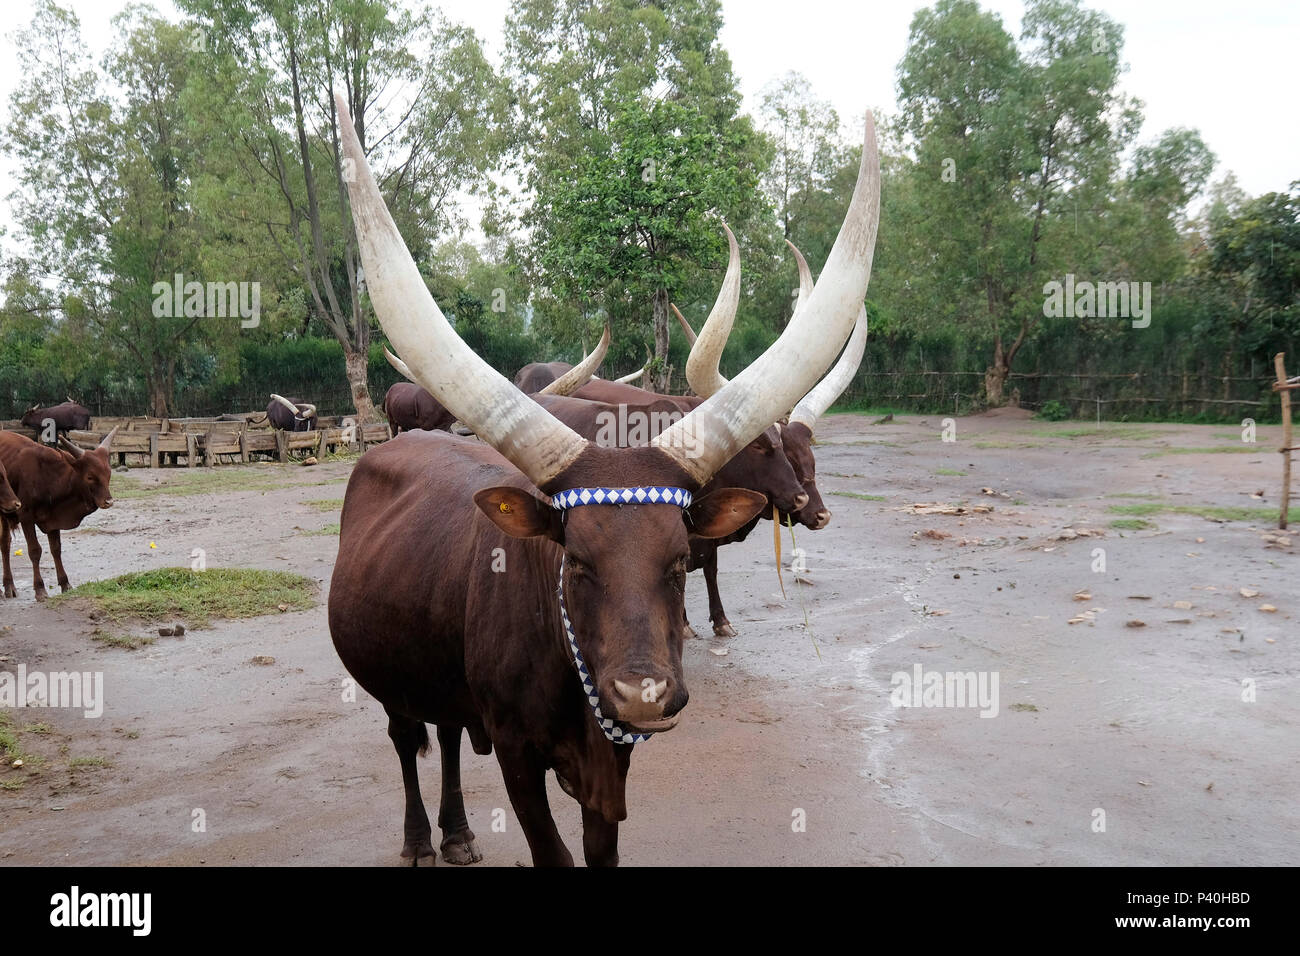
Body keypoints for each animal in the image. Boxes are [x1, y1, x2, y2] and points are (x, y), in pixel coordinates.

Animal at [0, 429, 118, 600]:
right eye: (90, 476)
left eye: (108, 473)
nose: (108, 501)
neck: (48, 477)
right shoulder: (26, 517)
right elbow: (34, 551)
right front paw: (40, 589)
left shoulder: (53, 519)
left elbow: (56, 549)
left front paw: (65, 583)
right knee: (5, 544)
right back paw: (8, 586)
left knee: (5, 544)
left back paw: (9, 585)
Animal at [326, 93, 878, 866]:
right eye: (577, 563)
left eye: (672, 562)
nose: (643, 694)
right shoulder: (518, 754)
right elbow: (551, 850)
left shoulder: (611, 757)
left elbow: (600, 850)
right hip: (390, 678)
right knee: (408, 741)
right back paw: (418, 840)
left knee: (447, 737)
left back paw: (459, 833)